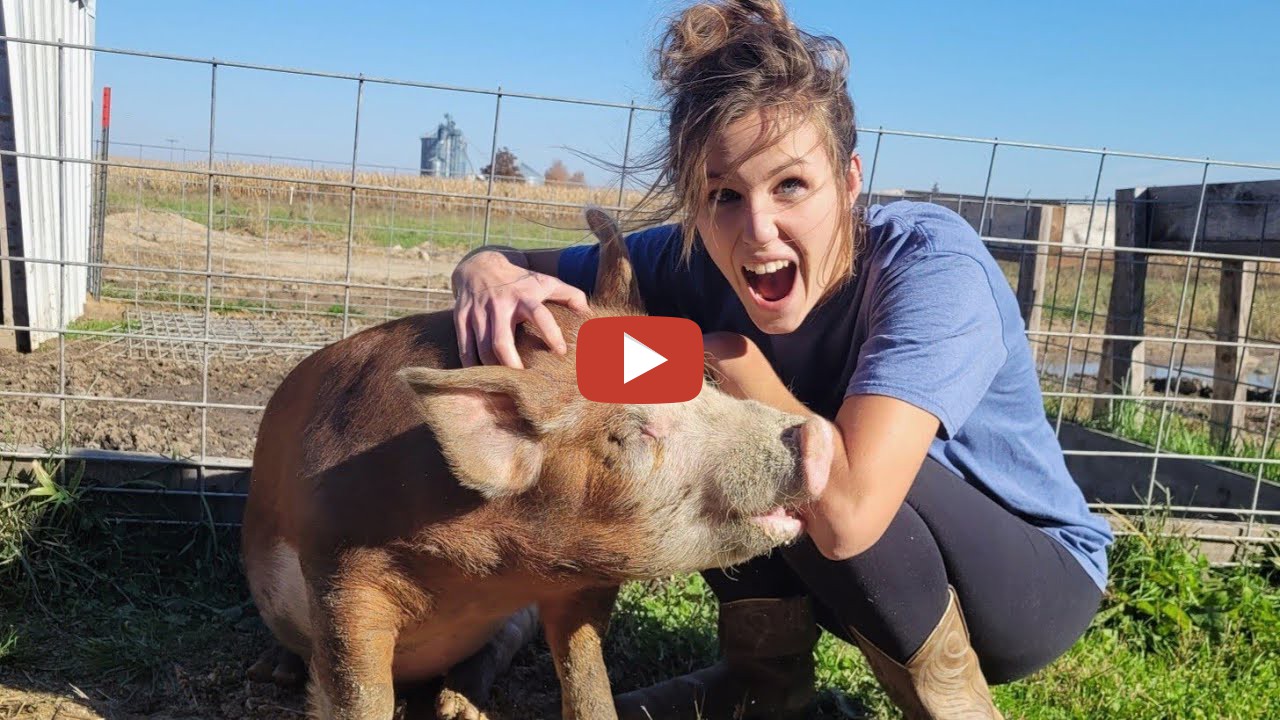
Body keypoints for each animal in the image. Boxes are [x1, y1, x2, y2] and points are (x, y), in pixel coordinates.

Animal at [240, 207, 829, 720]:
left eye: (704, 378)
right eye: (628, 433)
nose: (815, 433)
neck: (485, 569)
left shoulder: (586, 579)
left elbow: (587, 678)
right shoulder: (339, 569)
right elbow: (359, 693)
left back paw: (459, 709)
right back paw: (272, 671)